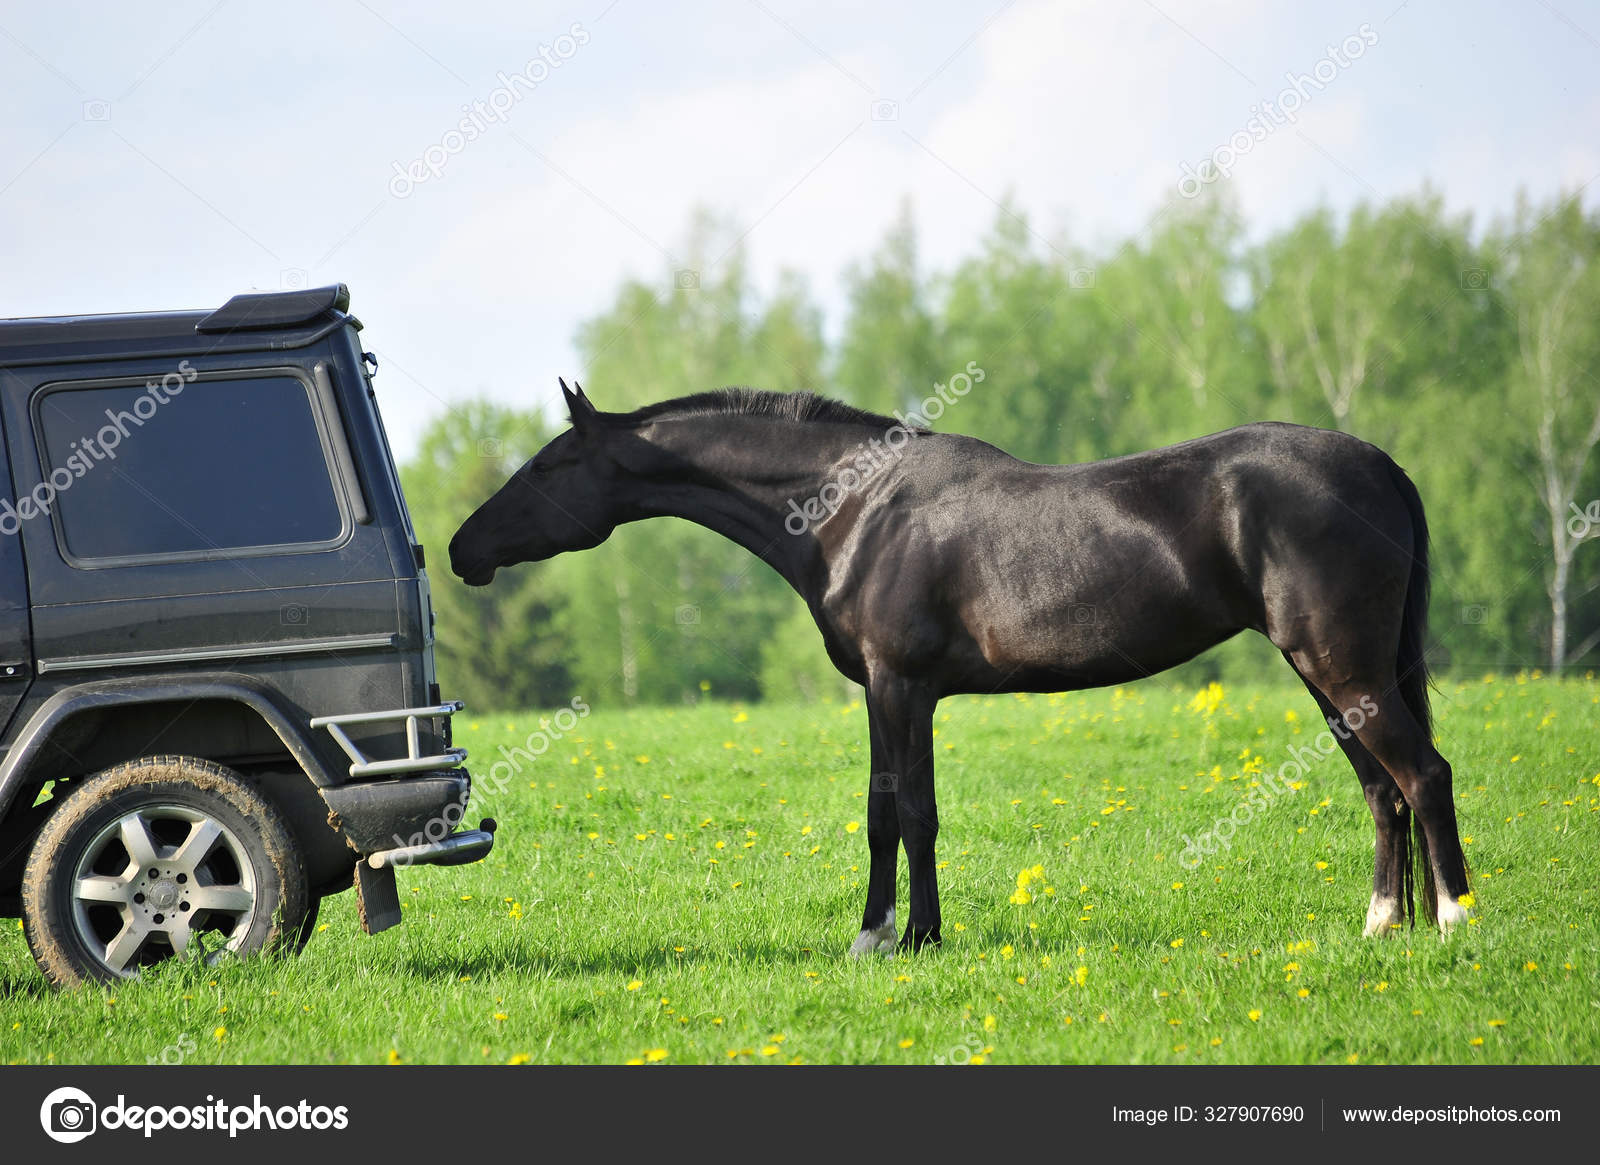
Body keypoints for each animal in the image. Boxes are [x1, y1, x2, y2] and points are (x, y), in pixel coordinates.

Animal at [449, 381, 1471, 955]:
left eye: (544, 466)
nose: (461, 548)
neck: (853, 507)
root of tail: (1382, 464)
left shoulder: (903, 684)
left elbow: (913, 814)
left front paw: (915, 938)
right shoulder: (885, 692)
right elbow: (882, 814)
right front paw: (877, 934)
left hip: (1340, 666)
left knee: (1423, 774)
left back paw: (1457, 919)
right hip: (1328, 674)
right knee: (1382, 789)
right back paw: (1385, 924)